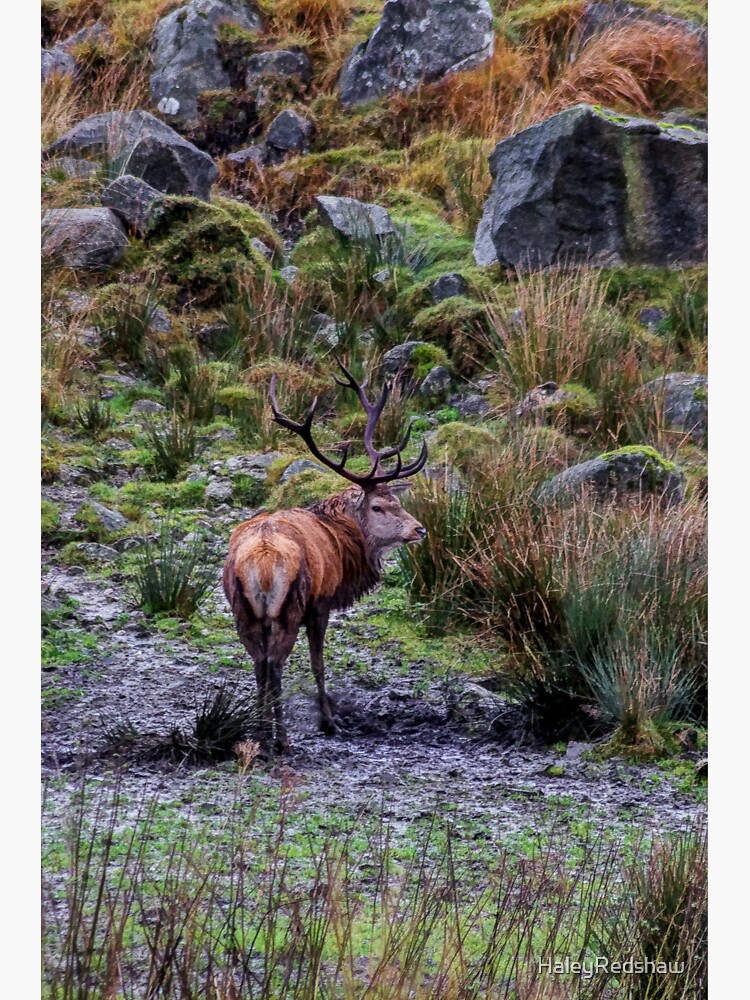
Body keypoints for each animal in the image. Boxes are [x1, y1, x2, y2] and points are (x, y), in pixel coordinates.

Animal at [223, 359, 428, 752]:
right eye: (378, 506)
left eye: (398, 500)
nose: (419, 530)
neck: (342, 544)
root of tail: (263, 559)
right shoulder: (321, 602)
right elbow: (318, 664)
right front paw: (329, 722)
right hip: (289, 606)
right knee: (275, 664)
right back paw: (281, 739)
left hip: (244, 609)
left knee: (259, 664)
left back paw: (260, 732)